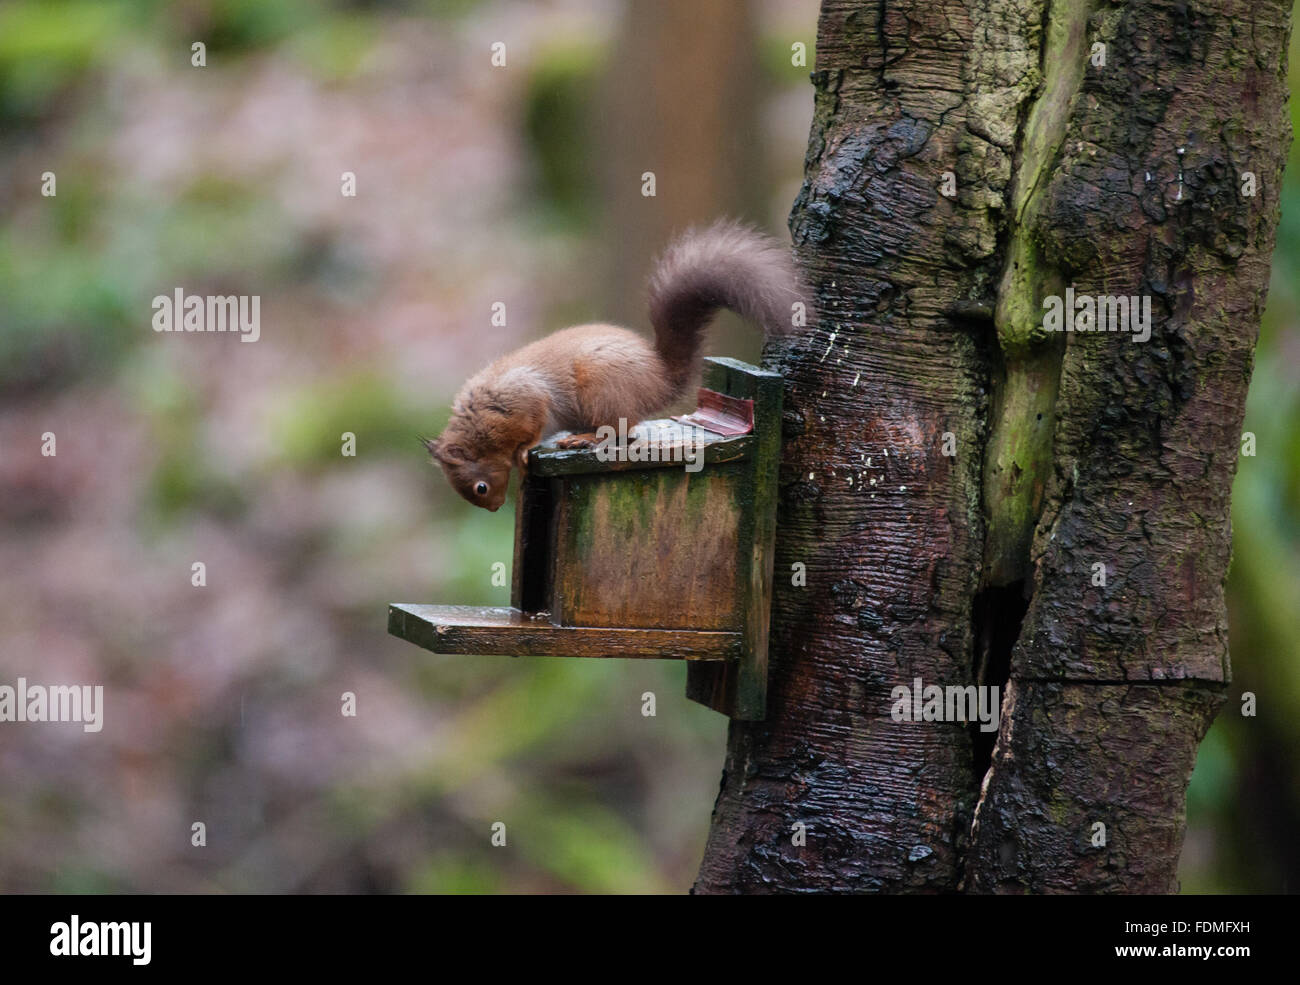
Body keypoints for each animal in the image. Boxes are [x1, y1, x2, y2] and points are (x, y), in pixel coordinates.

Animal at [425, 220, 808, 511]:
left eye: (480, 488)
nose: (495, 508)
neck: (481, 424)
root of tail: (659, 378)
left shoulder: (524, 398)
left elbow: (533, 426)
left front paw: (522, 453)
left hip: (602, 387)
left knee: (619, 428)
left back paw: (583, 438)